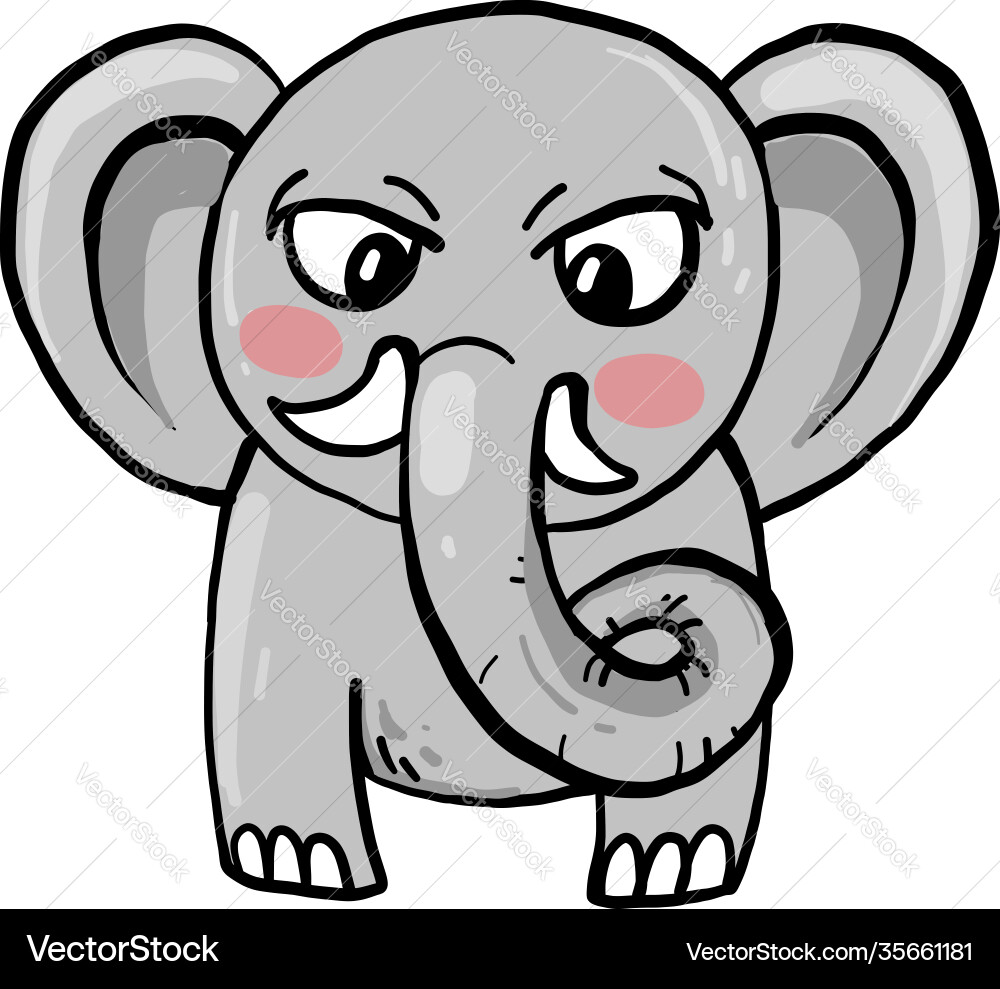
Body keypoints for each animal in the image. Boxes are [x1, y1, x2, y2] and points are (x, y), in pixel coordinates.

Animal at [3, 2, 995, 907]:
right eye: (365, 263)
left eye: (613, 275)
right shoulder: (273, 532)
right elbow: (269, 691)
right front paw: (300, 865)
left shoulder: (714, 507)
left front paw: (668, 871)